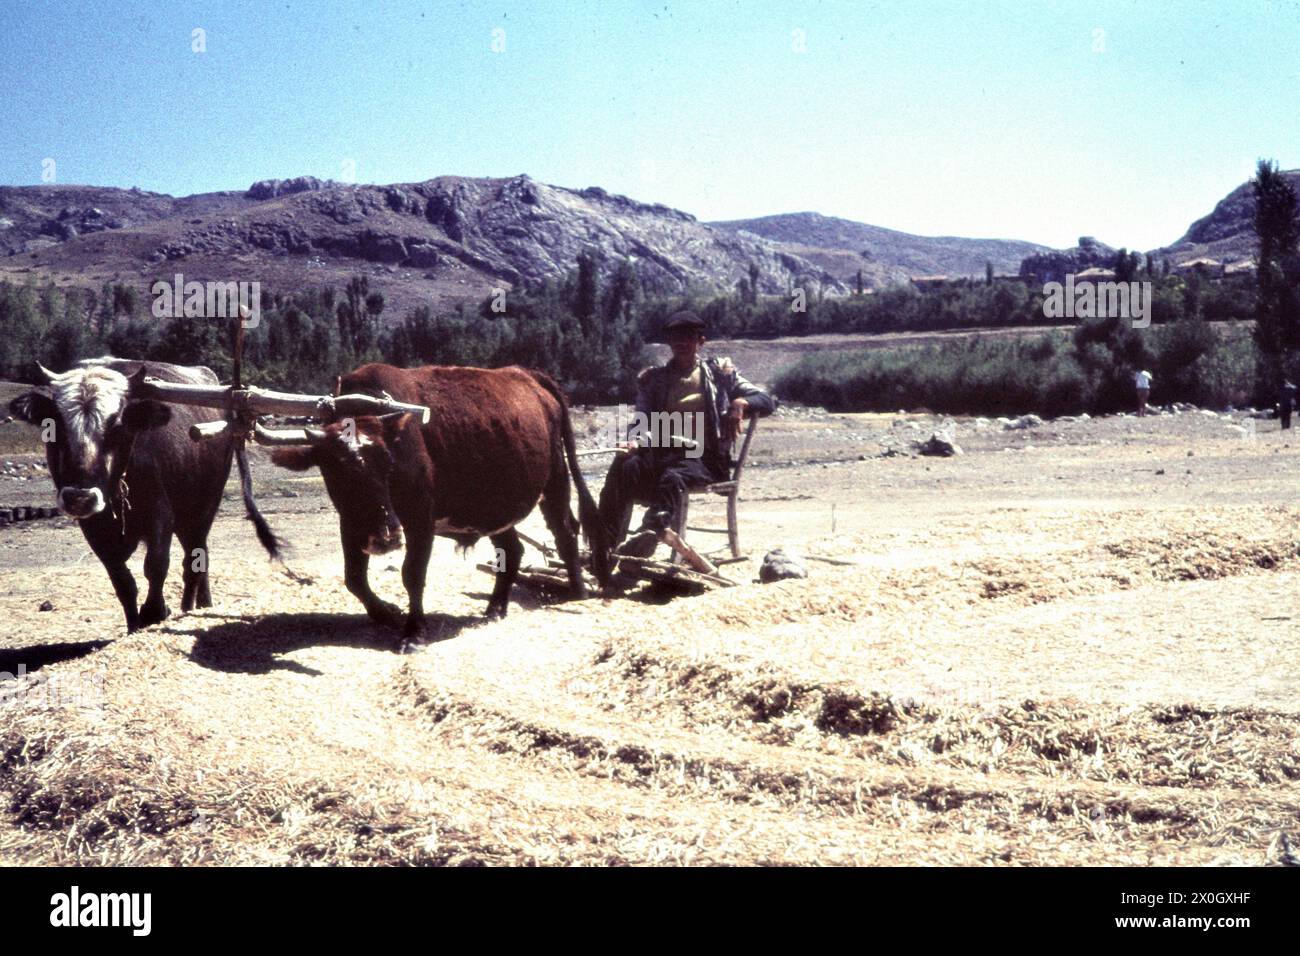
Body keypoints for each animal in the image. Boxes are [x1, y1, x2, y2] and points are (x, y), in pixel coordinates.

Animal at [7, 357, 282, 631]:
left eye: (117, 428)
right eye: (55, 427)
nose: (80, 498)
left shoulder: (159, 516)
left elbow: (156, 565)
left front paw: (155, 611)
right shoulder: (95, 529)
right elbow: (122, 580)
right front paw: (134, 625)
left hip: (203, 507)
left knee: (194, 557)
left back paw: (191, 607)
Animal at [269, 364, 610, 647]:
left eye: (388, 463)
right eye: (336, 471)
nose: (386, 537)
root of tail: (528, 375)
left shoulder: (420, 520)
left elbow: (412, 574)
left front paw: (414, 632)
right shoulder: (351, 523)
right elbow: (354, 578)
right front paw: (387, 613)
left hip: (555, 481)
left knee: (565, 533)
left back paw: (578, 592)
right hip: (495, 509)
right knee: (512, 550)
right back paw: (495, 607)